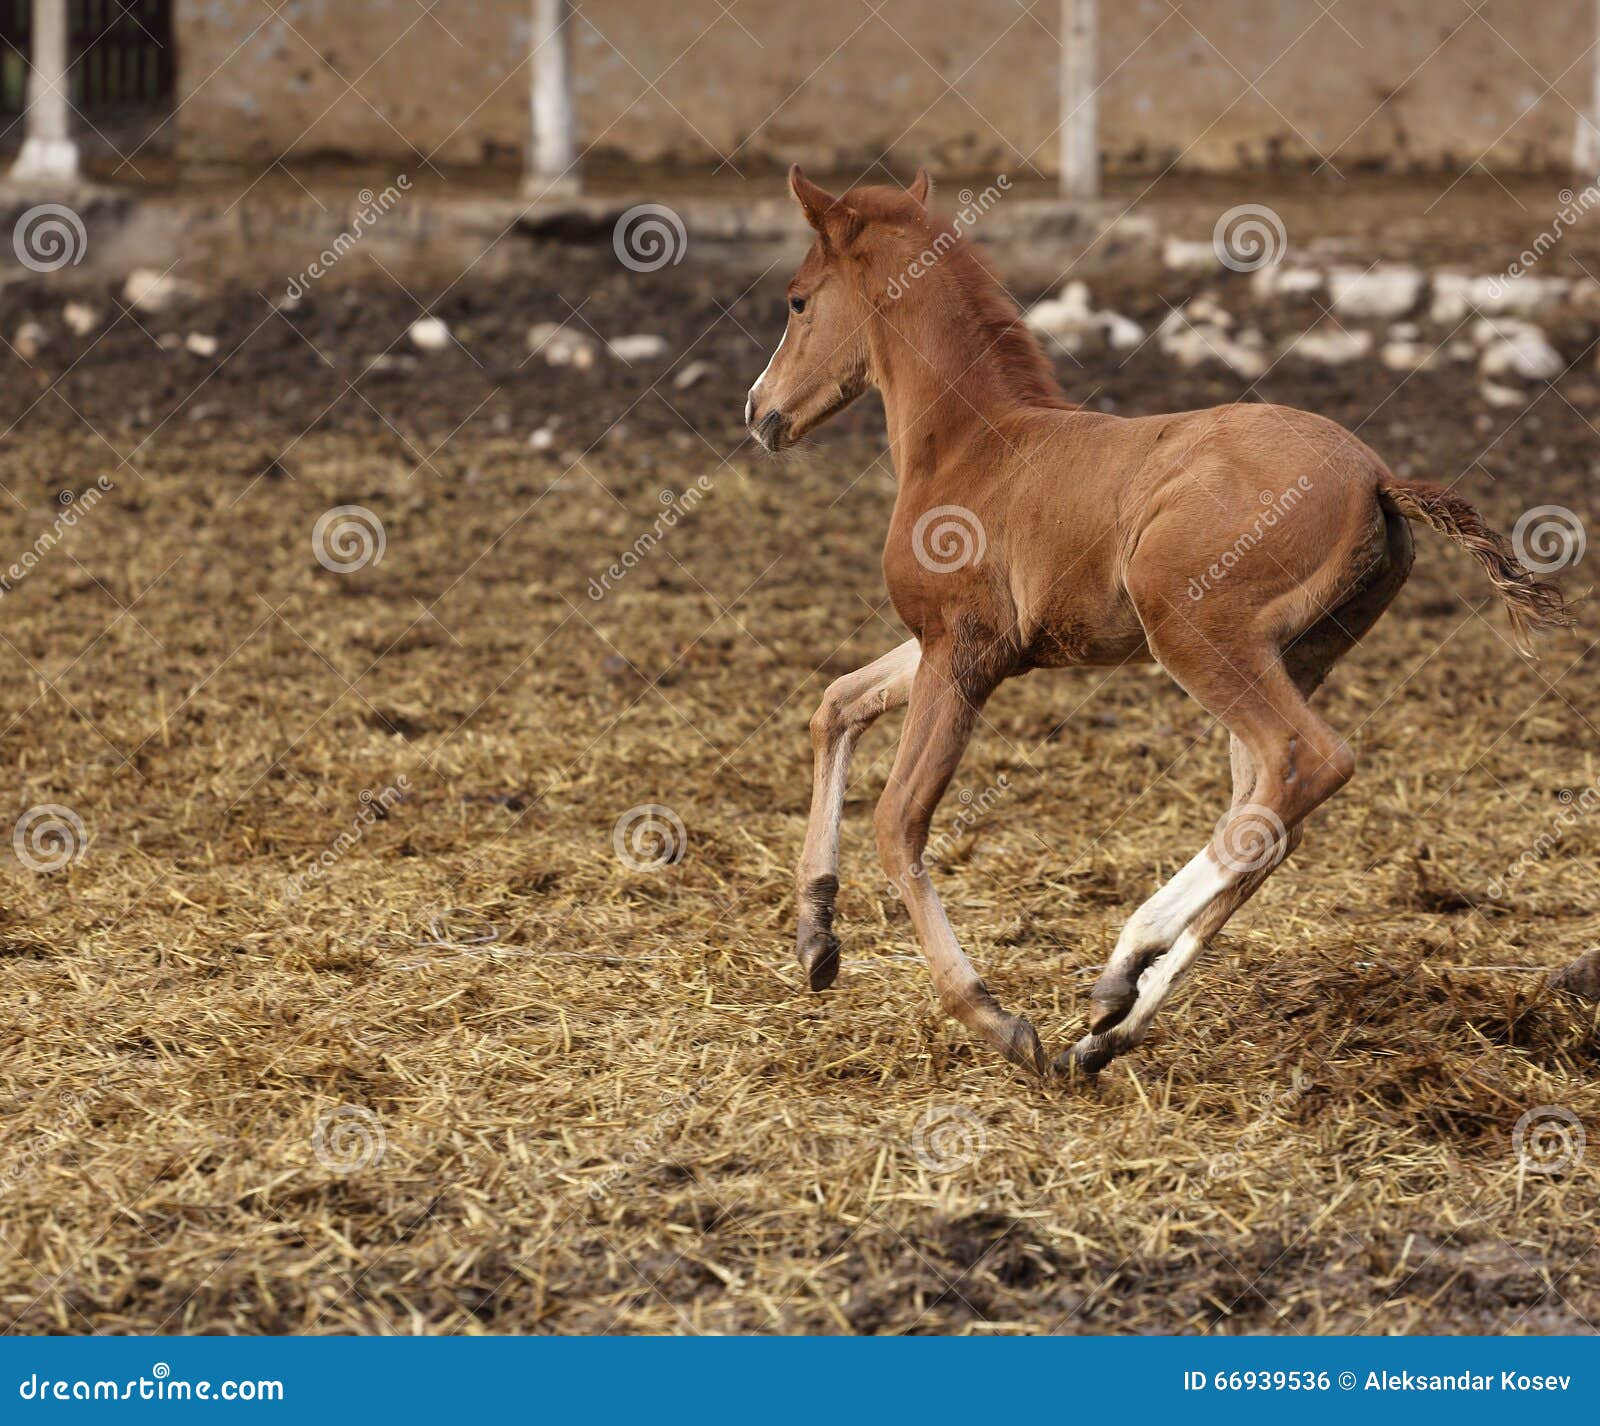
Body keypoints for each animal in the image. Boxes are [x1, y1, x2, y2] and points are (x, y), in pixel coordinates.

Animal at [746, 164, 1574, 1078]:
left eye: (796, 301)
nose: (758, 410)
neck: (972, 445)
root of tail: (1377, 478)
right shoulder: (946, 646)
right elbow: (836, 704)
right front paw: (816, 938)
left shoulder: (965, 652)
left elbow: (899, 821)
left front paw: (992, 1017)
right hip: (1292, 654)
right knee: (1265, 812)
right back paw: (1110, 1025)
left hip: (1194, 629)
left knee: (1306, 765)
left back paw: (1123, 962)